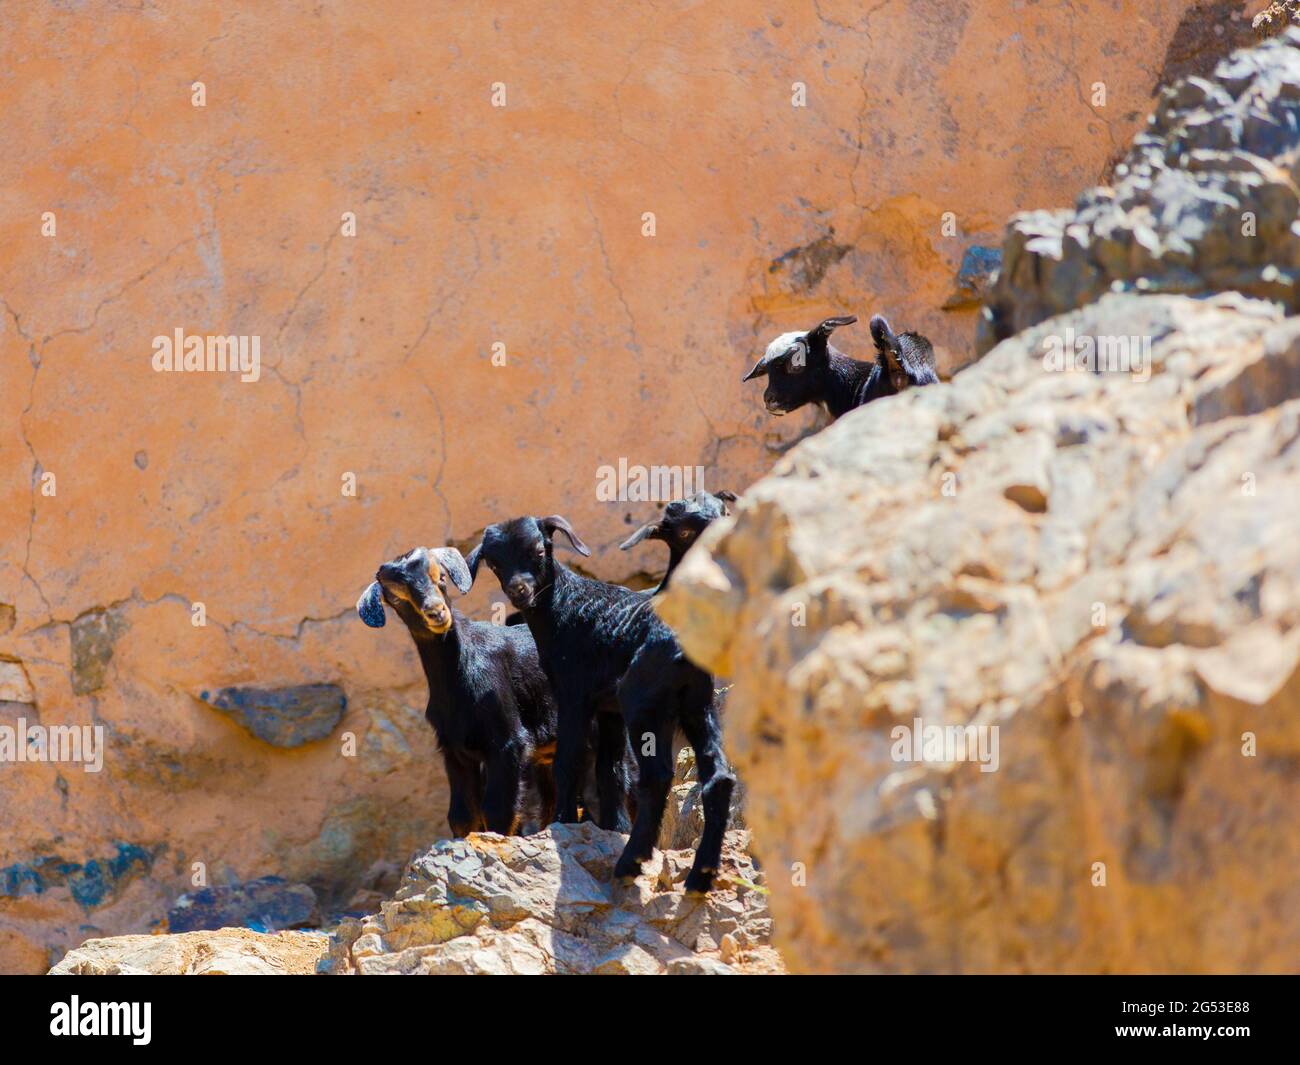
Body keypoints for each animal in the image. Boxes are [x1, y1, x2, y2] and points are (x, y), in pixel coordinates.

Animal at [356, 546, 560, 837]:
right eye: (396, 598)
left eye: (441, 577)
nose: (436, 612)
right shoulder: (455, 751)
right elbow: (462, 816)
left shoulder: (508, 743)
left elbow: (498, 812)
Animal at [468, 516, 735, 894]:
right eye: (493, 563)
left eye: (539, 549)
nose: (519, 590)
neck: (563, 607)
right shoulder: (609, 709)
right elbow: (610, 771)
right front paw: (612, 827)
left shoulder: (574, 692)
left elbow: (570, 761)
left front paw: (564, 822)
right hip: (698, 703)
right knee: (719, 777)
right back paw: (700, 877)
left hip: (644, 702)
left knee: (657, 776)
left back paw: (630, 863)